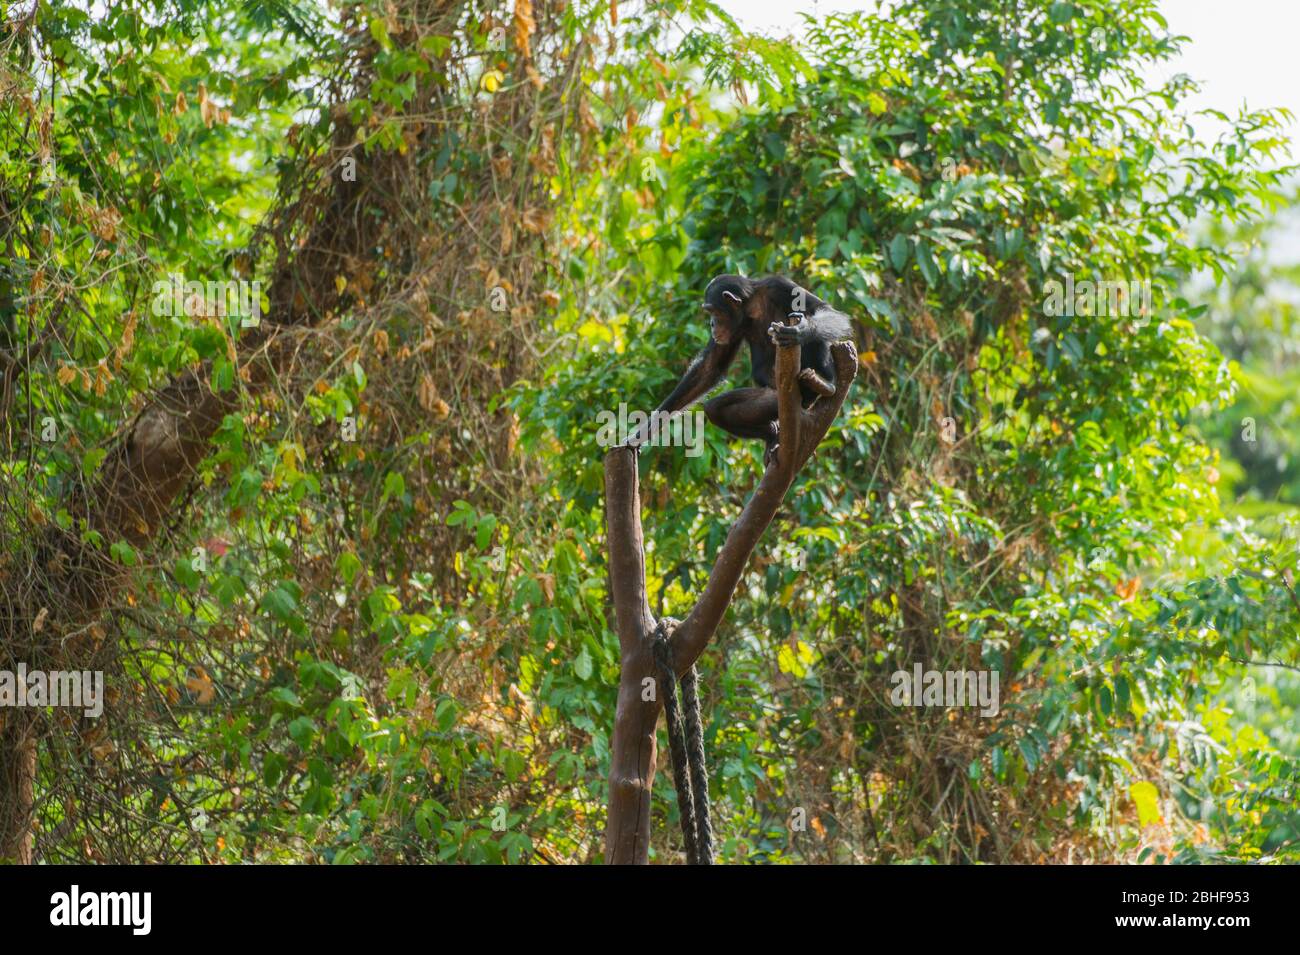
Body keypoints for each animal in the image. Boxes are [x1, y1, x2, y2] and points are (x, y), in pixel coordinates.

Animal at [631, 274, 853, 462]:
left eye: (713, 311)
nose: (711, 324)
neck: (751, 308)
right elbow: (710, 367)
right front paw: (639, 435)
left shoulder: (779, 285)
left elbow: (824, 310)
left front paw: (801, 330)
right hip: (773, 399)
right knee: (716, 409)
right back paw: (771, 434)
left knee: (817, 332)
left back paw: (824, 383)